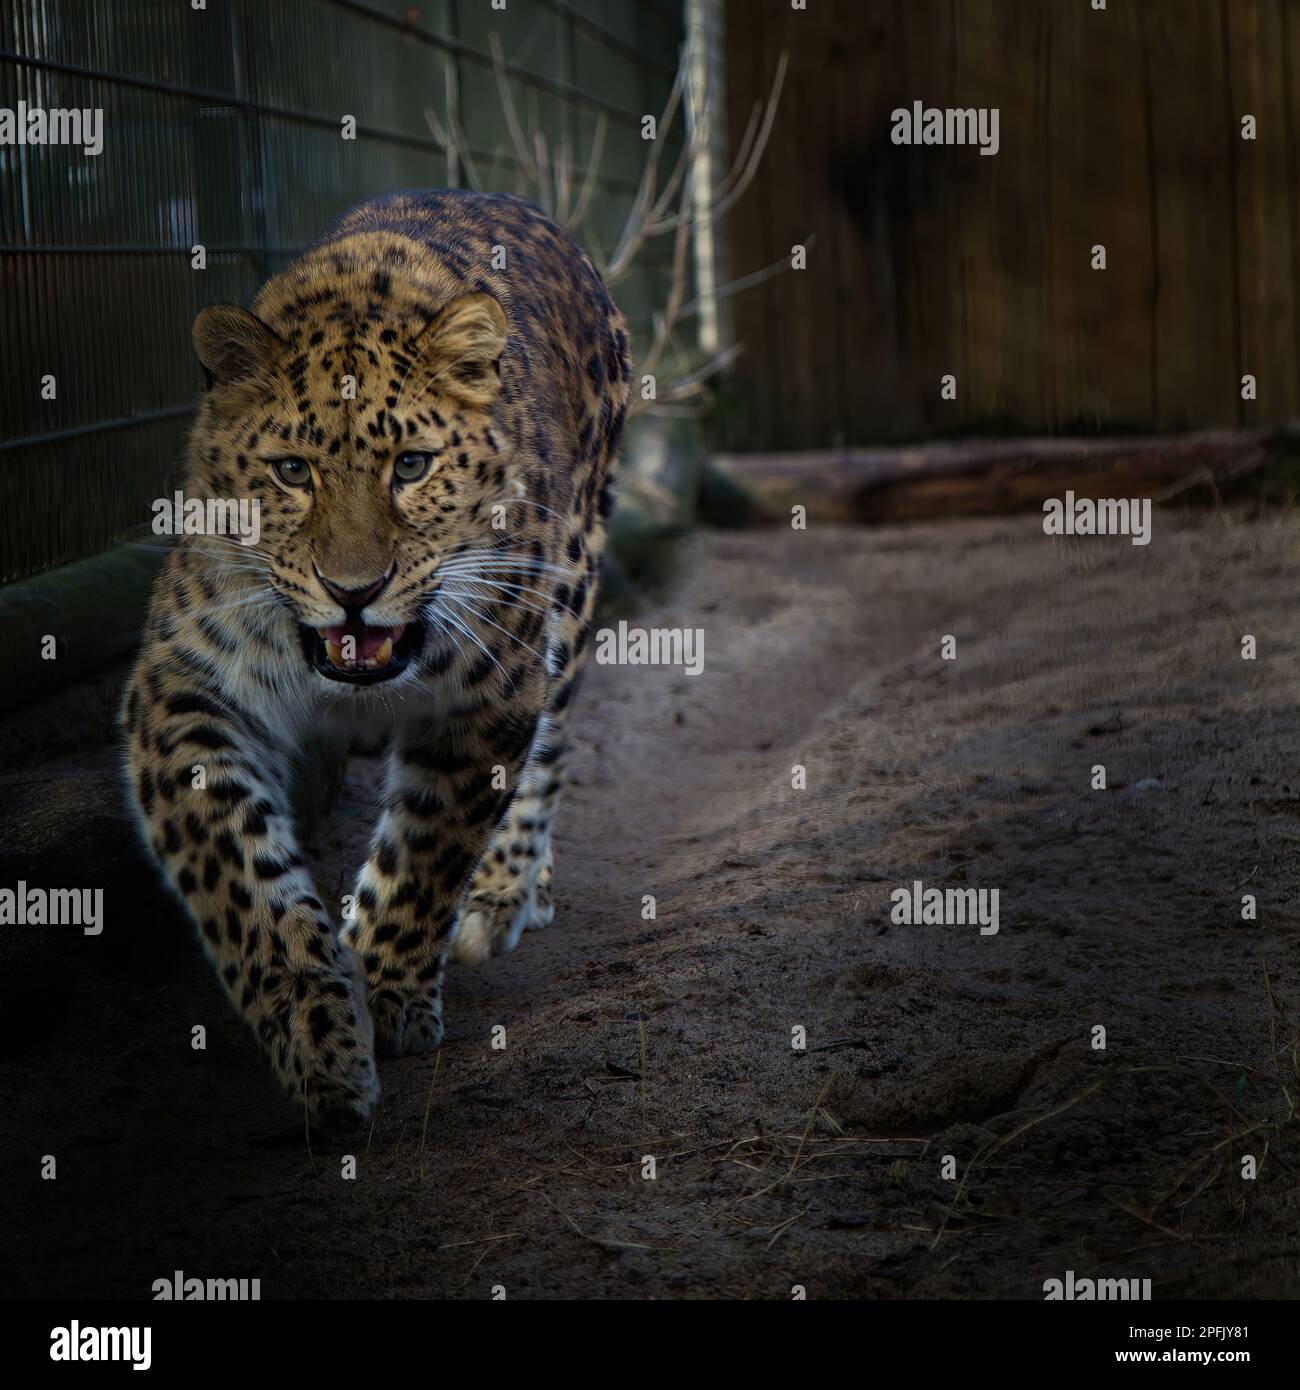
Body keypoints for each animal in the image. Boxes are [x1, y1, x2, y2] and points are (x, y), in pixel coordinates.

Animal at [120, 189, 630, 1130]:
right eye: (292, 471)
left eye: (413, 466)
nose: (353, 590)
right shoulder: (186, 690)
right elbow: (242, 879)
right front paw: (318, 1035)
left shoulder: (489, 696)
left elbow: (424, 860)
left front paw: (385, 992)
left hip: (571, 591)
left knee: (548, 754)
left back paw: (506, 890)